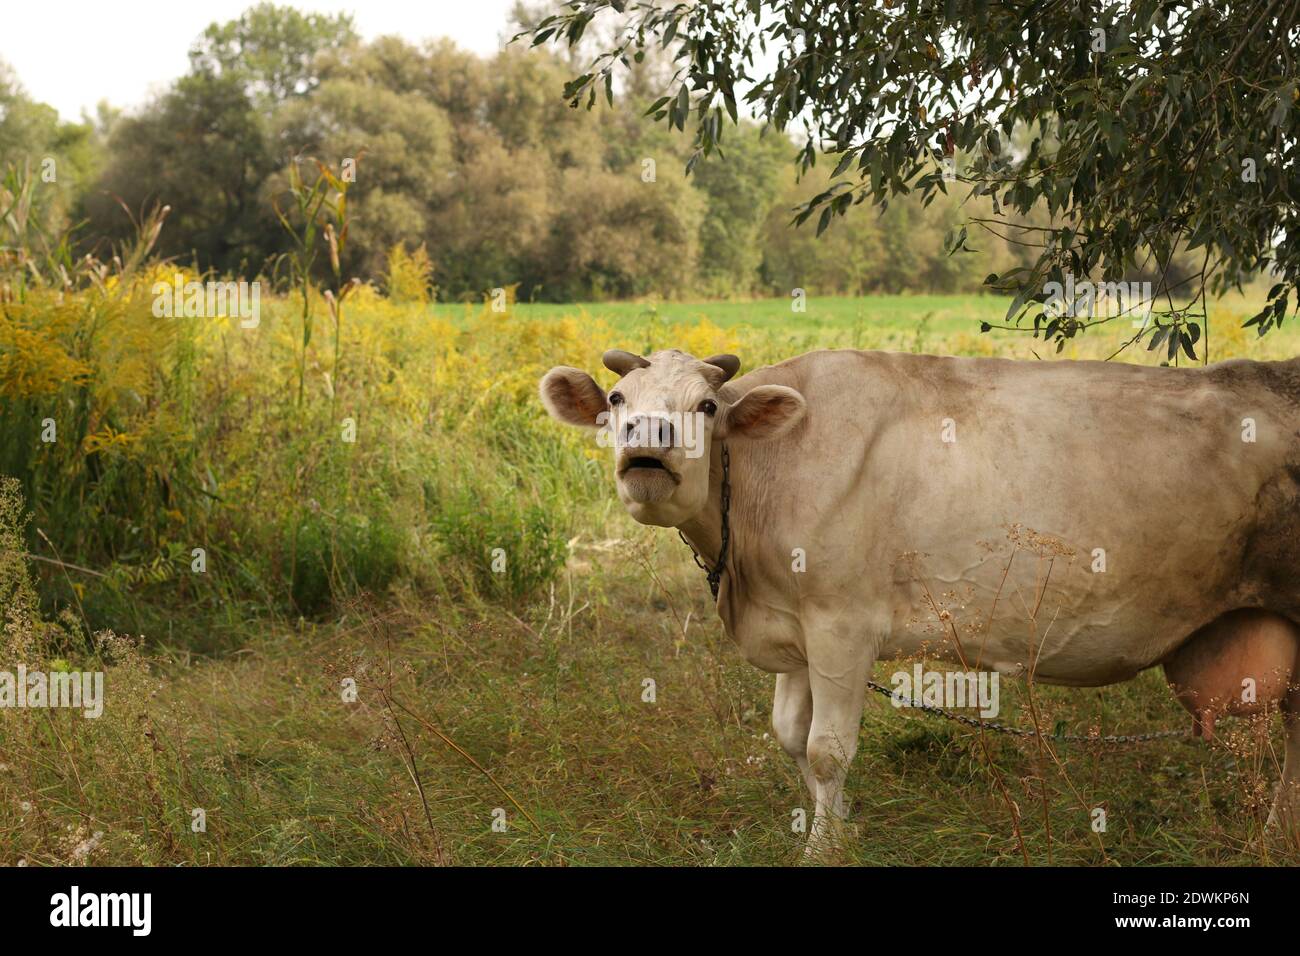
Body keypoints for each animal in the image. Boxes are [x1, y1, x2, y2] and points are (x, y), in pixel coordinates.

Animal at [539, 346, 1300, 852]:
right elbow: (789, 734)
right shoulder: (794, 625)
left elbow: (826, 748)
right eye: (618, 402)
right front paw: (843, 828)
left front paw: (823, 850)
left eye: (704, 406)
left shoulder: (843, 622)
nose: (648, 442)